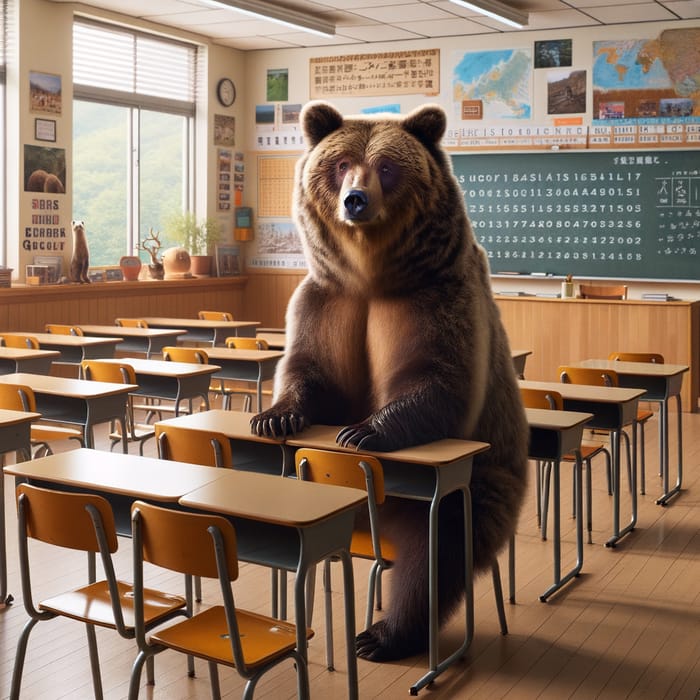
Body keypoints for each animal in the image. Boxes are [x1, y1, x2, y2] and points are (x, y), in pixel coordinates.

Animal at [251, 101, 529, 662]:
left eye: (386, 166)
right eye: (340, 165)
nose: (355, 200)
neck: (371, 275)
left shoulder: (435, 299)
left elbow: (437, 378)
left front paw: (362, 431)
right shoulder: (327, 301)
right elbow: (309, 368)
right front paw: (275, 416)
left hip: (479, 484)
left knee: (437, 551)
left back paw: (383, 635)